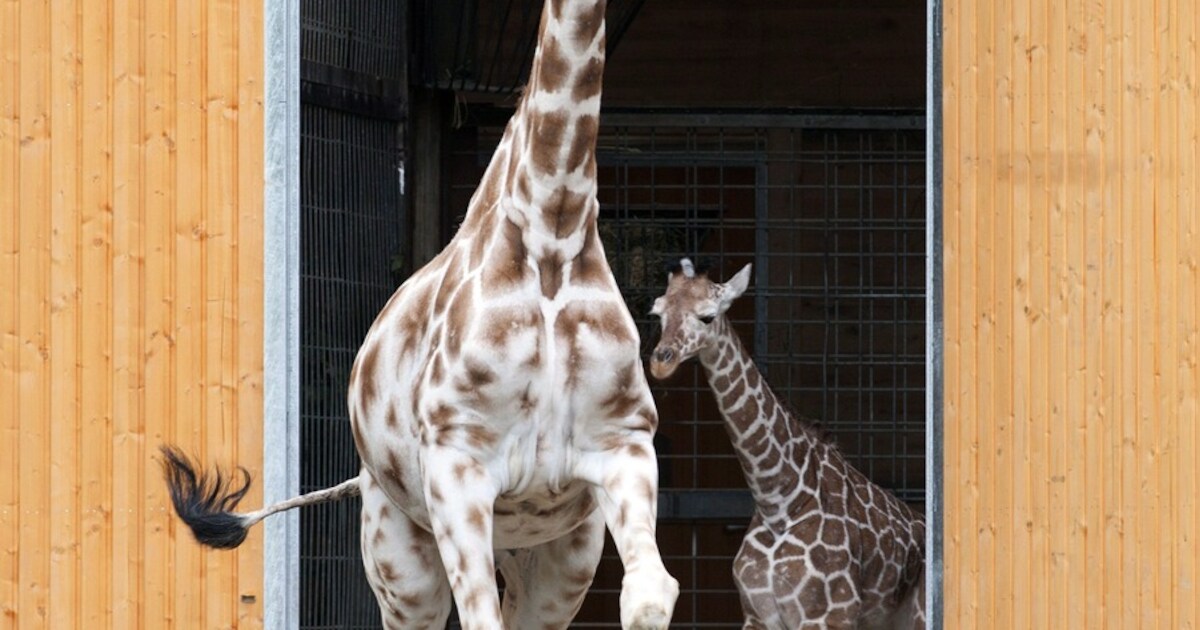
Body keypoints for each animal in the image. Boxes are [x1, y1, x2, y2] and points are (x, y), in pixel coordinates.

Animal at [159, 1, 679, 628]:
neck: (552, 234)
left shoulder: (623, 443)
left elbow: (649, 596)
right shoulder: (458, 461)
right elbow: (481, 618)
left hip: (558, 555)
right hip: (400, 554)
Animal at [647, 258, 925, 630]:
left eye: (707, 316)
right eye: (658, 312)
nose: (660, 362)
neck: (777, 501)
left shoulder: (828, 615)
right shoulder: (757, 615)